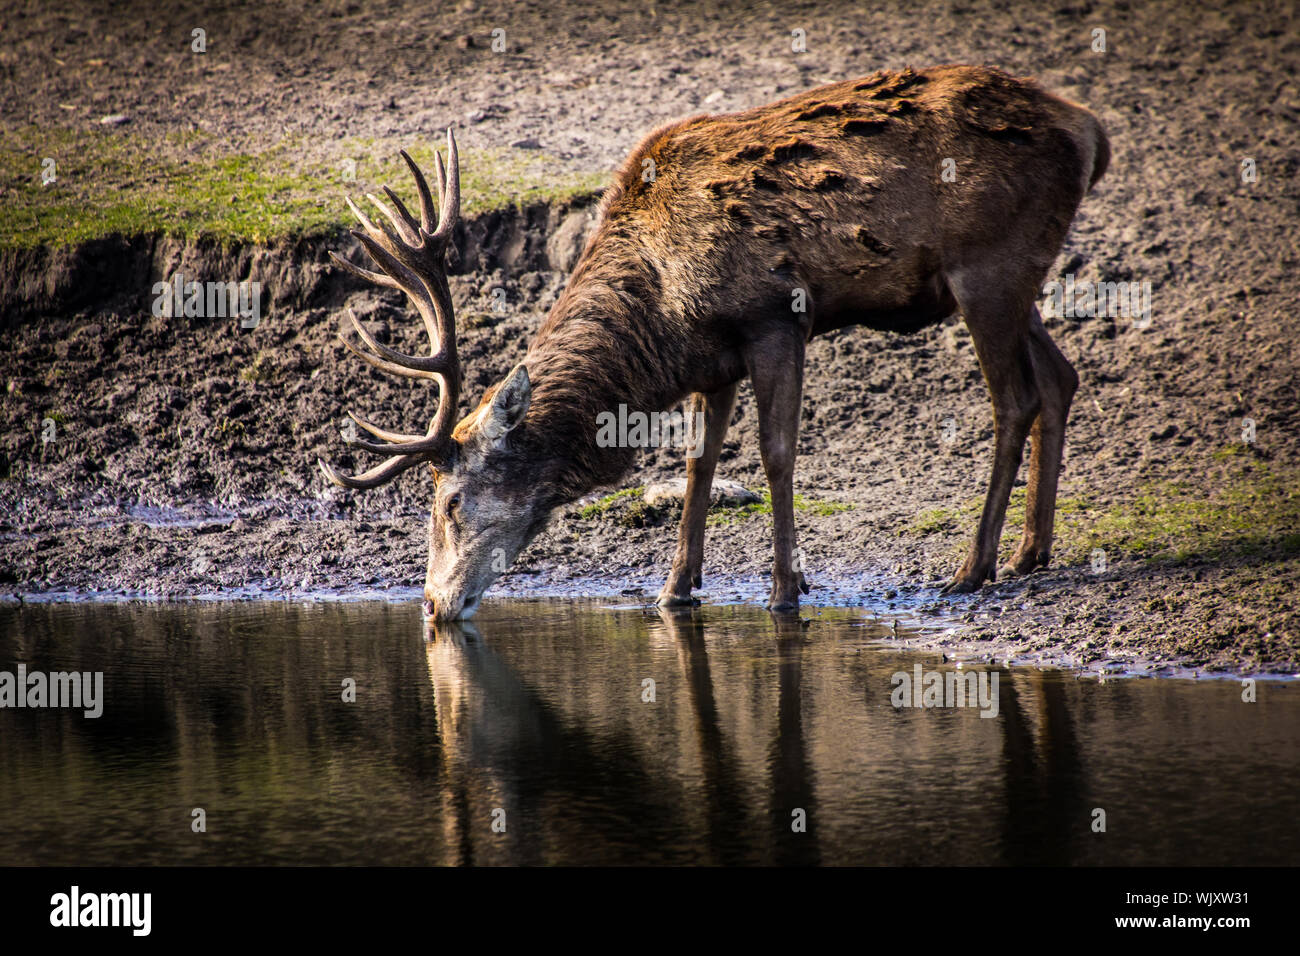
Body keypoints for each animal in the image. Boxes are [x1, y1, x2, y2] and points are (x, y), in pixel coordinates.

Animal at [320, 64, 1109, 621]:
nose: (431, 605)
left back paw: (973, 567)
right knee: (1061, 377)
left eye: (450, 504)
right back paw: (1032, 552)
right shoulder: (713, 358)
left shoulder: (776, 317)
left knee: (1015, 400)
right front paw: (675, 587)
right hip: (1015, 276)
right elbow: (699, 462)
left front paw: (786, 588)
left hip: (989, 265)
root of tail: (1089, 129)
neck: (660, 313)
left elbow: (777, 452)